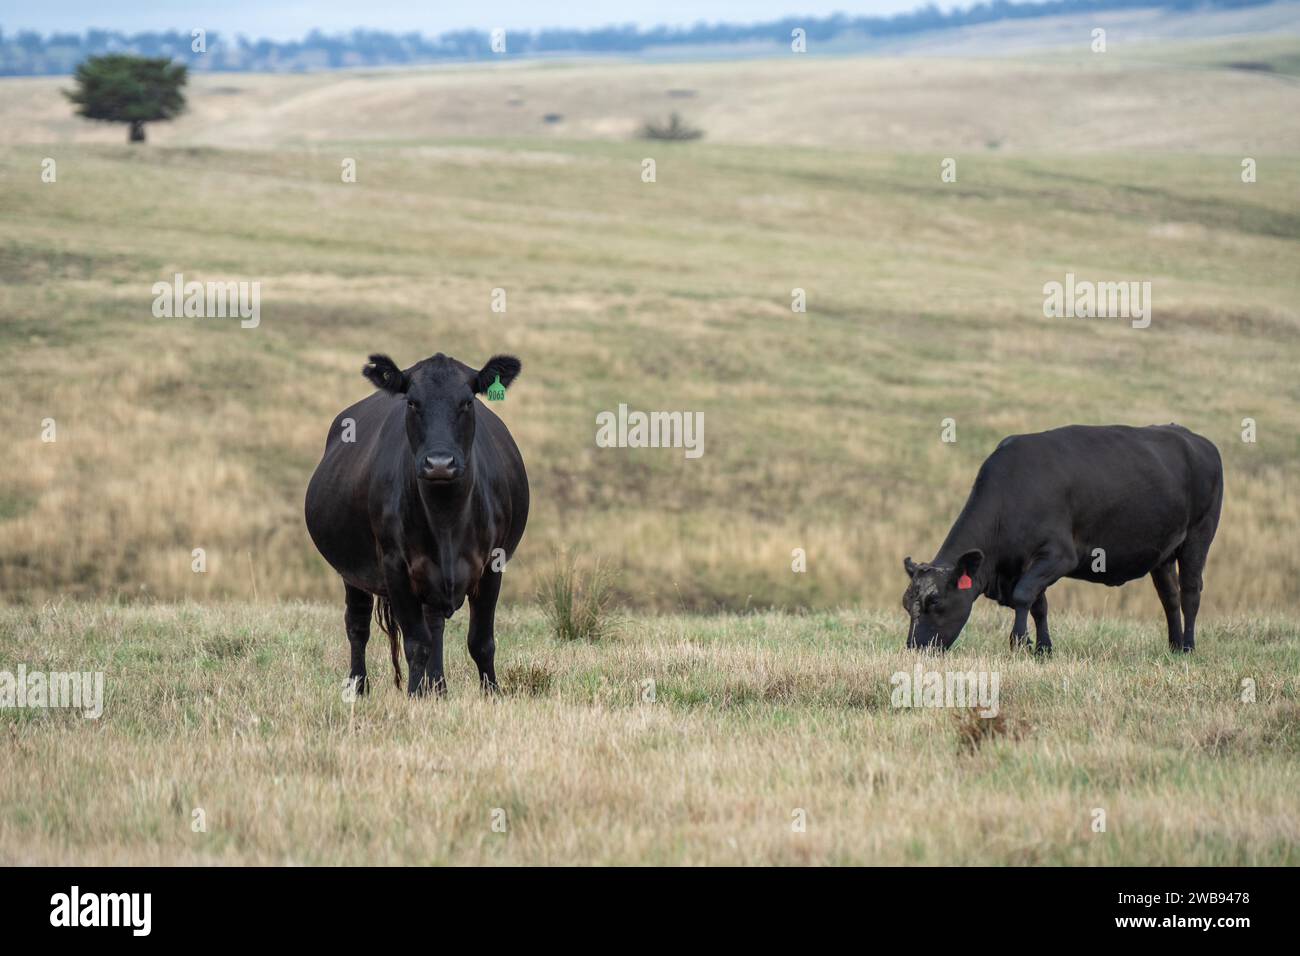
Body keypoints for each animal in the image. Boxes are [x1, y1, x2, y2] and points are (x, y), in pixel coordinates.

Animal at [305, 351, 528, 696]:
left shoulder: (493, 563)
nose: (440, 463)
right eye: (412, 402)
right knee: (357, 624)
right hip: (352, 570)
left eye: (467, 402)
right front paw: (414, 695)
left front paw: (492, 694)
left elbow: (481, 642)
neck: (446, 518)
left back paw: (438, 688)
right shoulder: (395, 565)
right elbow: (415, 643)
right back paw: (359, 687)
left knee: (434, 622)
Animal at [901, 424, 1222, 654]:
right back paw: (1174, 647)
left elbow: (1023, 595)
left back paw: (1189, 647)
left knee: (1190, 592)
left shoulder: (1059, 555)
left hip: (1198, 536)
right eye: (906, 604)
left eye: (936, 602)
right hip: (1163, 554)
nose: (914, 649)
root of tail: (1195, 439)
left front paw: (1020, 643)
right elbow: (1038, 604)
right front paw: (1044, 648)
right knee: (1169, 596)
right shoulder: (1027, 563)